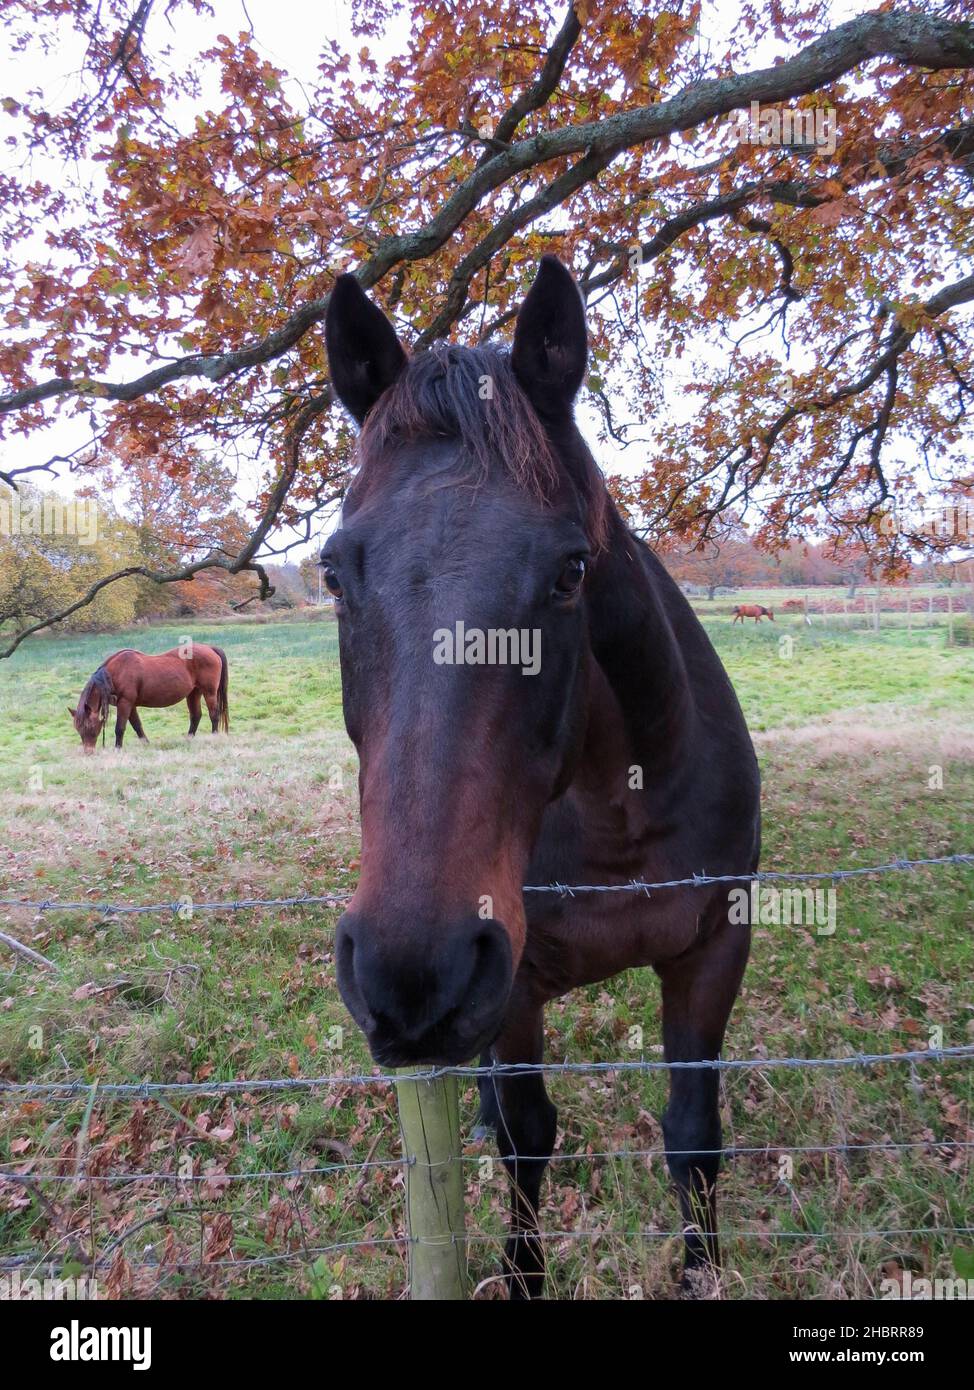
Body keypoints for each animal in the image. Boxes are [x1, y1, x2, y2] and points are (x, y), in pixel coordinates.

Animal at [69, 645, 229, 752]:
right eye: (78, 728)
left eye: (89, 726)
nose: (88, 752)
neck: (114, 673)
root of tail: (210, 648)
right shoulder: (130, 705)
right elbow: (137, 725)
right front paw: (146, 744)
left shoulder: (125, 703)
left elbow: (120, 728)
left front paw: (117, 749)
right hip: (193, 693)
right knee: (196, 716)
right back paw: (188, 739)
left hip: (209, 692)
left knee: (214, 715)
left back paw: (214, 737)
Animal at [323, 257, 760, 1299]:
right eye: (333, 575)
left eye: (570, 571)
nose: (411, 974)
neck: (619, 813)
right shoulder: (511, 984)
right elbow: (529, 1137)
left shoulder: (714, 950)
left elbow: (694, 1136)